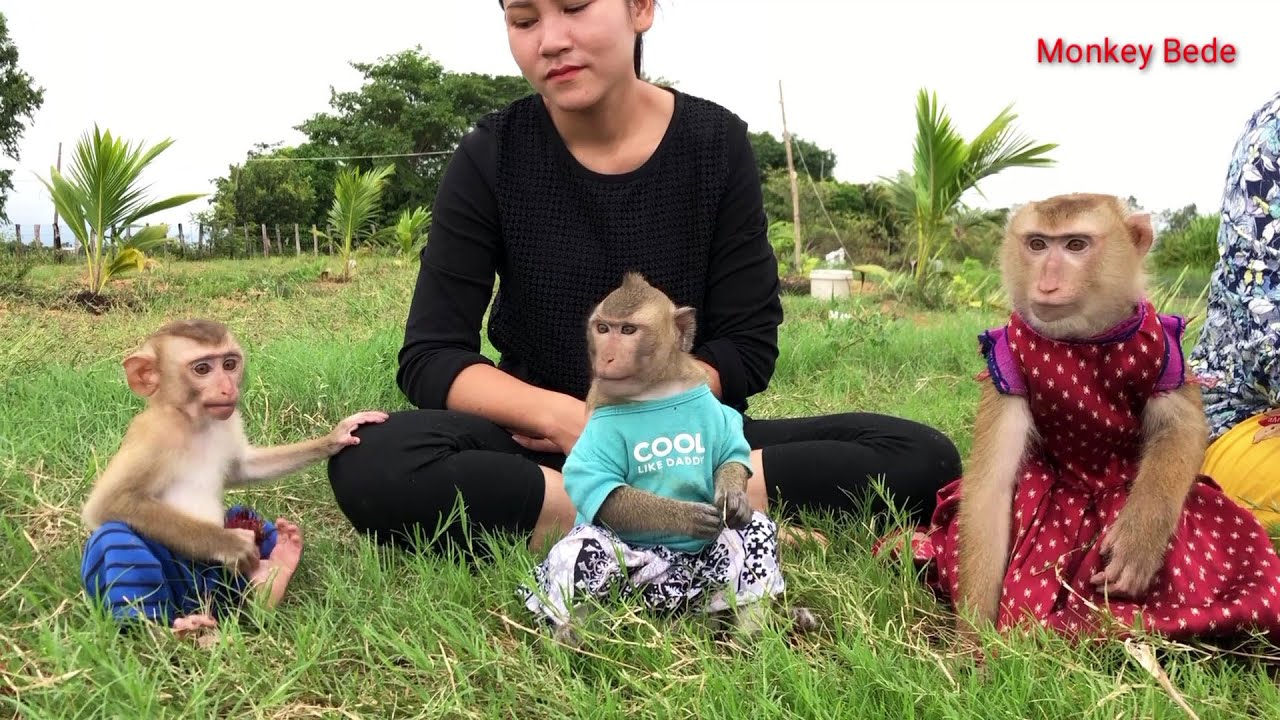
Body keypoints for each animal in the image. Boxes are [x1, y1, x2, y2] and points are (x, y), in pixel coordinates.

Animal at [79, 318, 388, 635]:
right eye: (202, 369)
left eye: (229, 364)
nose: (227, 388)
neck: (193, 422)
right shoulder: (153, 436)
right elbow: (108, 504)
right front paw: (232, 544)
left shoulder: (227, 423)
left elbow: (243, 468)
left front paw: (334, 438)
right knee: (116, 535)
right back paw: (169, 630)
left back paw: (273, 578)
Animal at [519, 273, 817, 647]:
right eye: (602, 328)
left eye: (627, 330)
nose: (606, 358)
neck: (655, 390)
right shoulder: (598, 422)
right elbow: (610, 497)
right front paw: (688, 517)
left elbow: (731, 454)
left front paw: (733, 496)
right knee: (587, 548)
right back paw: (574, 635)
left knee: (755, 532)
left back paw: (749, 634)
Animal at [914, 193, 1280, 648]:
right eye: (1037, 245)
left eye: (1075, 245)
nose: (1046, 283)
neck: (1083, 339)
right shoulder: (1005, 357)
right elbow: (991, 488)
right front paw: (974, 640)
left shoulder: (1165, 346)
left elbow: (1181, 429)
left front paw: (1140, 541)